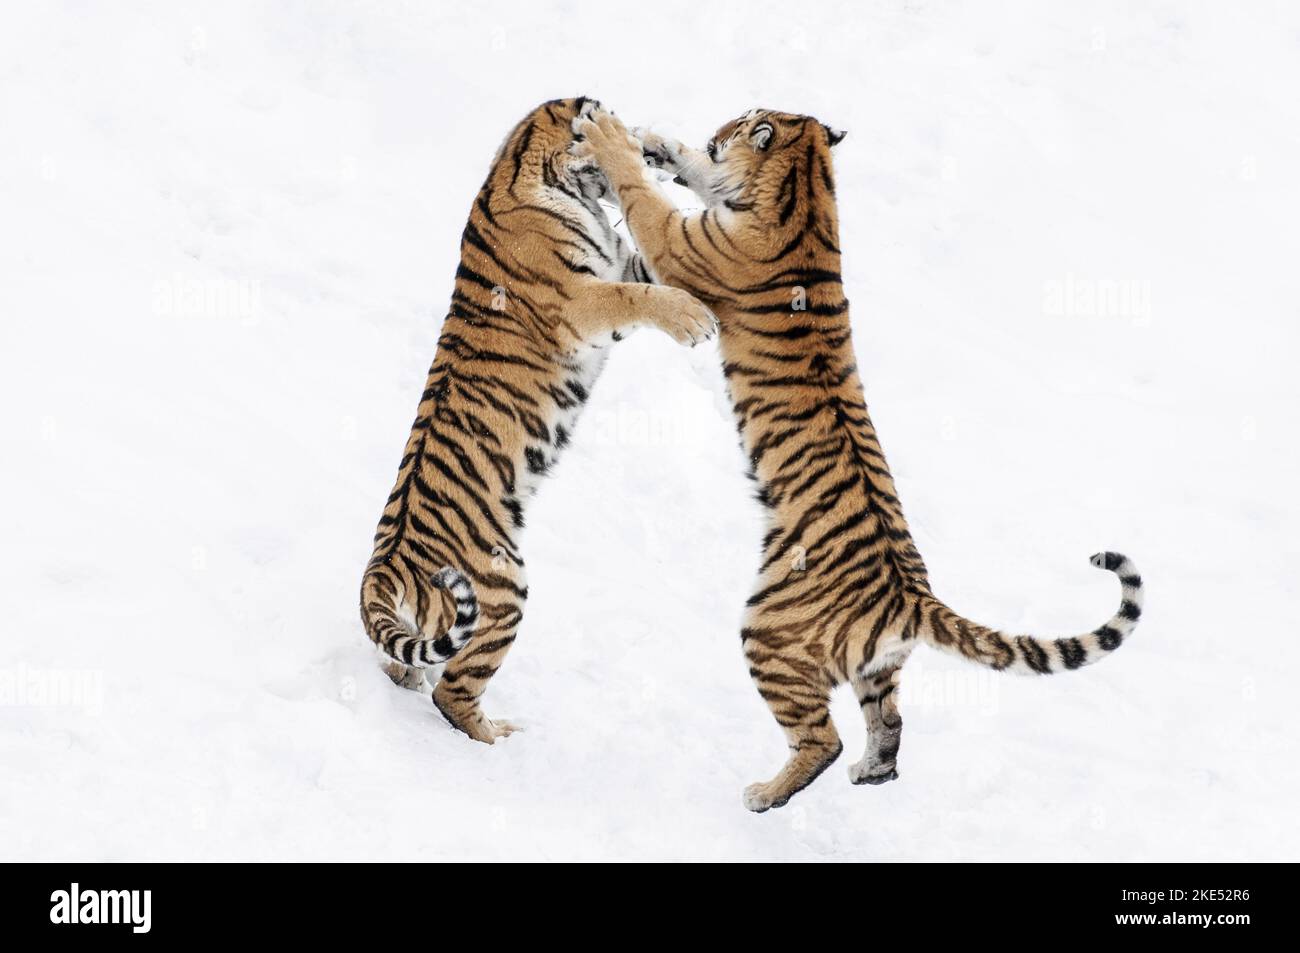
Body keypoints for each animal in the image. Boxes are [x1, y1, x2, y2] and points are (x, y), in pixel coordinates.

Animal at [360, 97, 717, 744]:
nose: (654, 150)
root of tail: (383, 564)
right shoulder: (583, 300)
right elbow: (638, 298)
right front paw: (693, 318)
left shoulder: (623, 262)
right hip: (503, 590)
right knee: (453, 694)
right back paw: (498, 739)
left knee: (408, 668)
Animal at [572, 106, 1144, 811]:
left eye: (741, 119)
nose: (718, 128)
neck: (808, 196)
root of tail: (913, 597)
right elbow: (691, 176)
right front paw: (656, 142)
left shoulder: (678, 243)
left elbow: (646, 198)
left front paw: (616, 141)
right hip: (876, 668)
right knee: (890, 727)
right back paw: (869, 772)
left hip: (768, 632)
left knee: (823, 740)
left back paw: (764, 794)